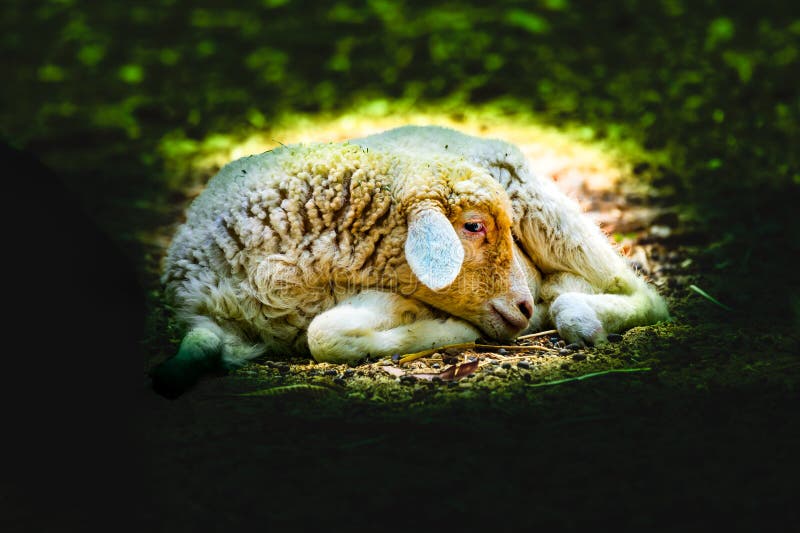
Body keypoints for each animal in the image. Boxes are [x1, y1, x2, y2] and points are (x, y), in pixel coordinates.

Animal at [151, 125, 668, 396]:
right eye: (474, 226)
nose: (522, 306)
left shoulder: (384, 290)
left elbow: (323, 334)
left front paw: (447, 331)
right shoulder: (205, 315)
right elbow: (192, 353)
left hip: (544, 208)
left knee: (644, 296)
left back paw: (576, 316)